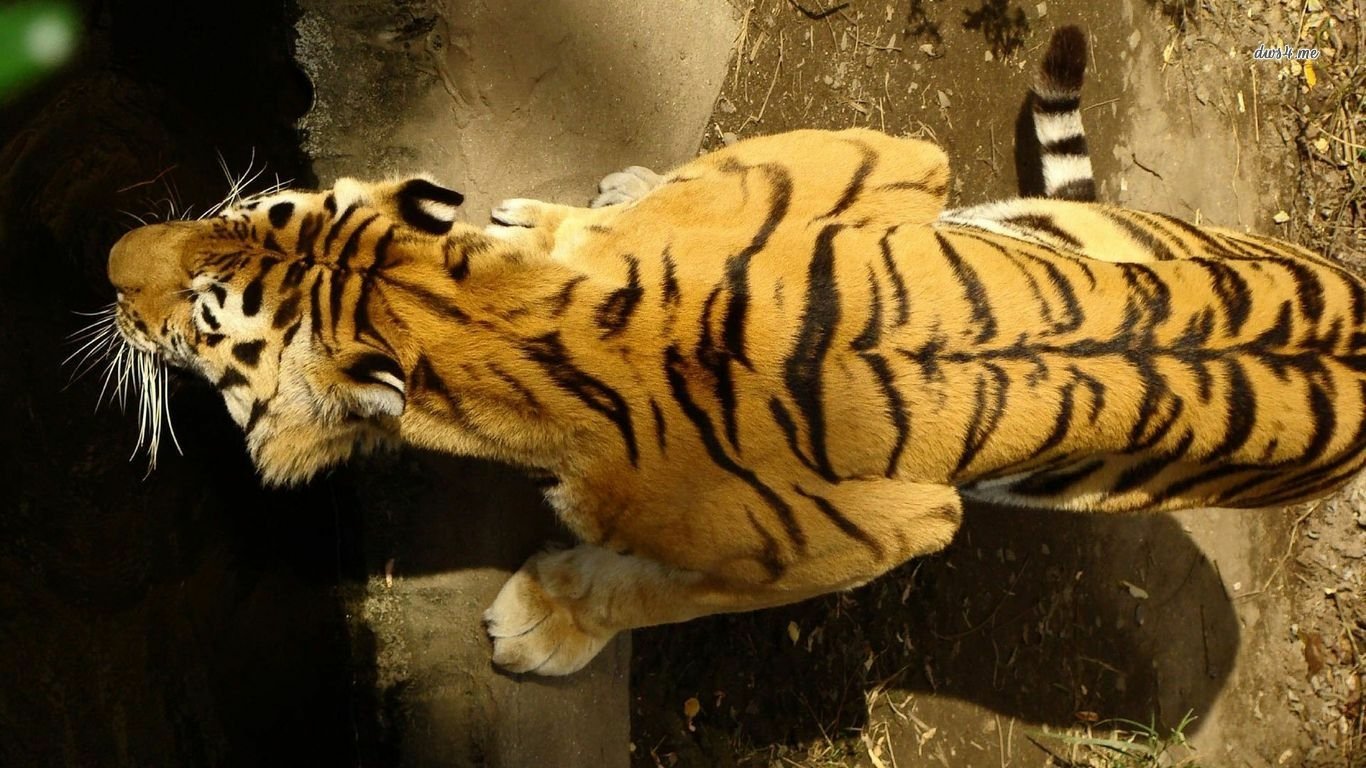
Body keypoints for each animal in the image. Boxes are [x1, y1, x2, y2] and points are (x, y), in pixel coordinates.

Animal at [103, 27, 1366, 675]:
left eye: (203, 313)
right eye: (249, 204)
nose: (111, 258)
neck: (485, 313)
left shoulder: (868, 534)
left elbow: (665, 595)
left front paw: (546, 622)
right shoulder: (882, 158)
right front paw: (580, 208)